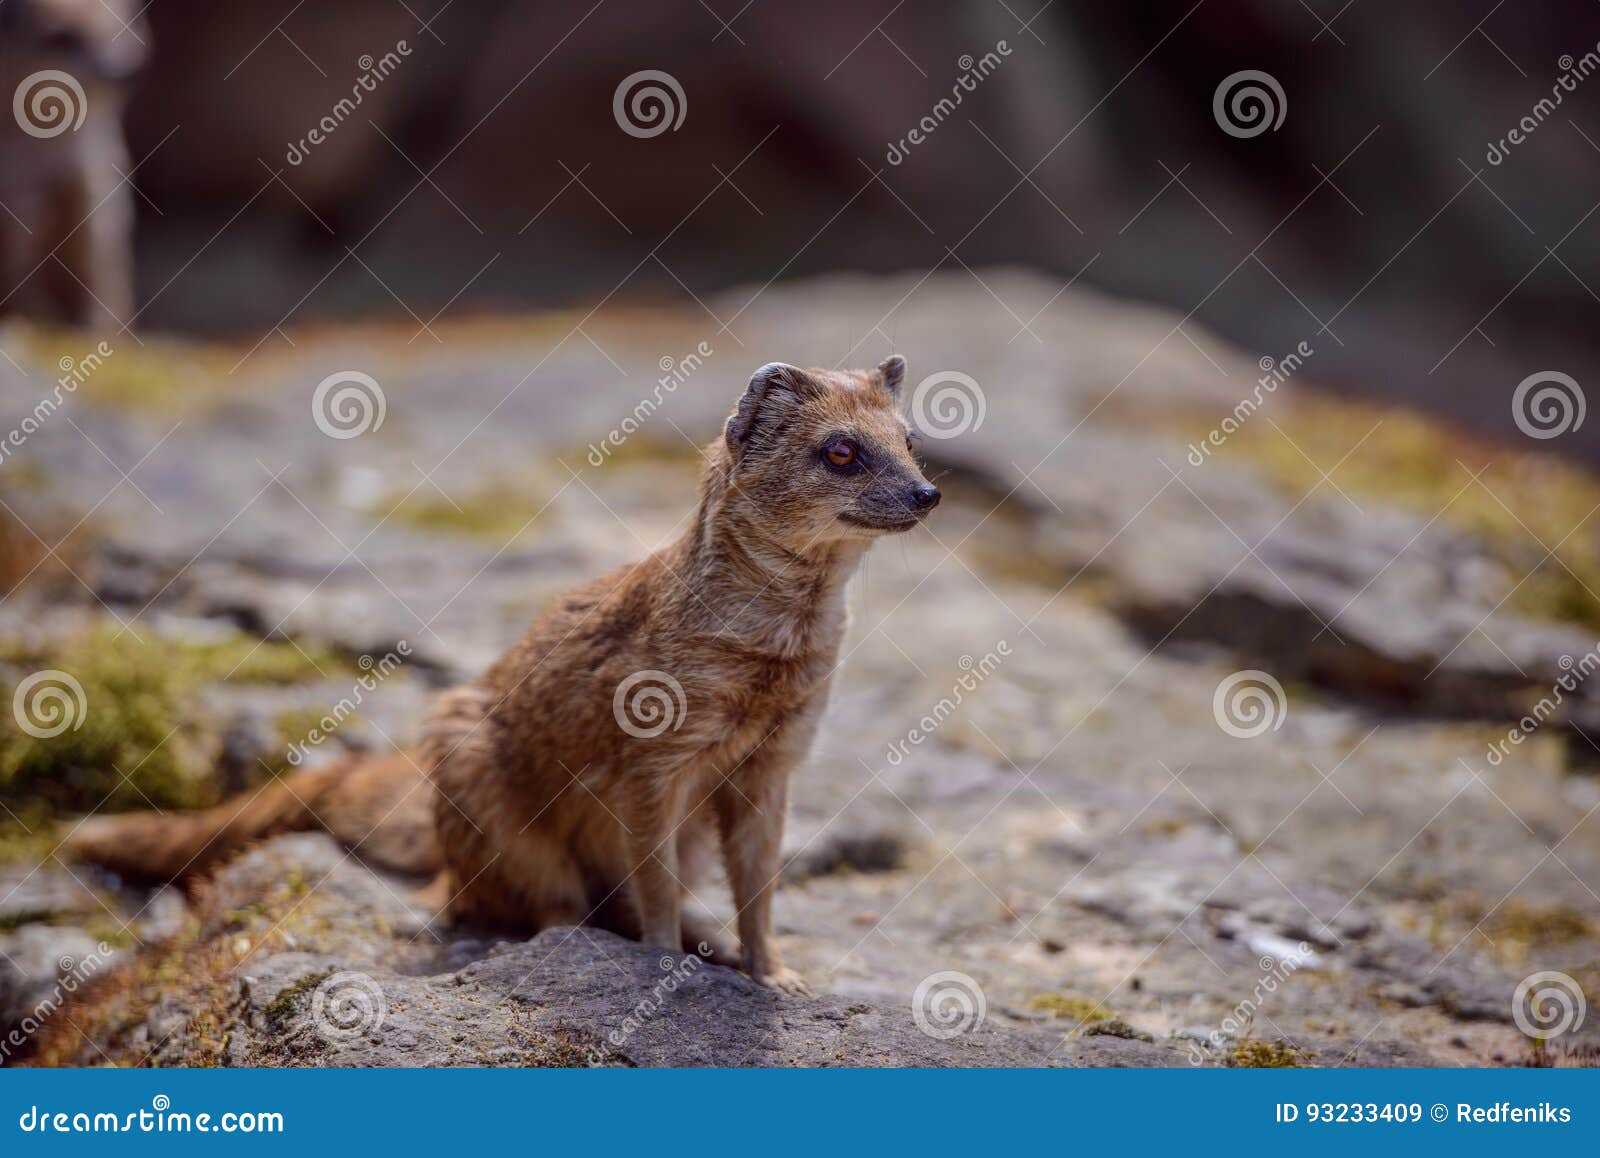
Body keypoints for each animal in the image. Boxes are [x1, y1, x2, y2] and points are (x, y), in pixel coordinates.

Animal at [70, 357, 940, 992]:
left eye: (910, 442)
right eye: (840, 451)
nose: (929, 494)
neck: (775, 659)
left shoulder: (775, 762)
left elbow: (759, 884)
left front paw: (775, 973)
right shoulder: (651, 758)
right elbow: (653, 881)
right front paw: (663, 965)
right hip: (478, 778)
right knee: (513, 905)